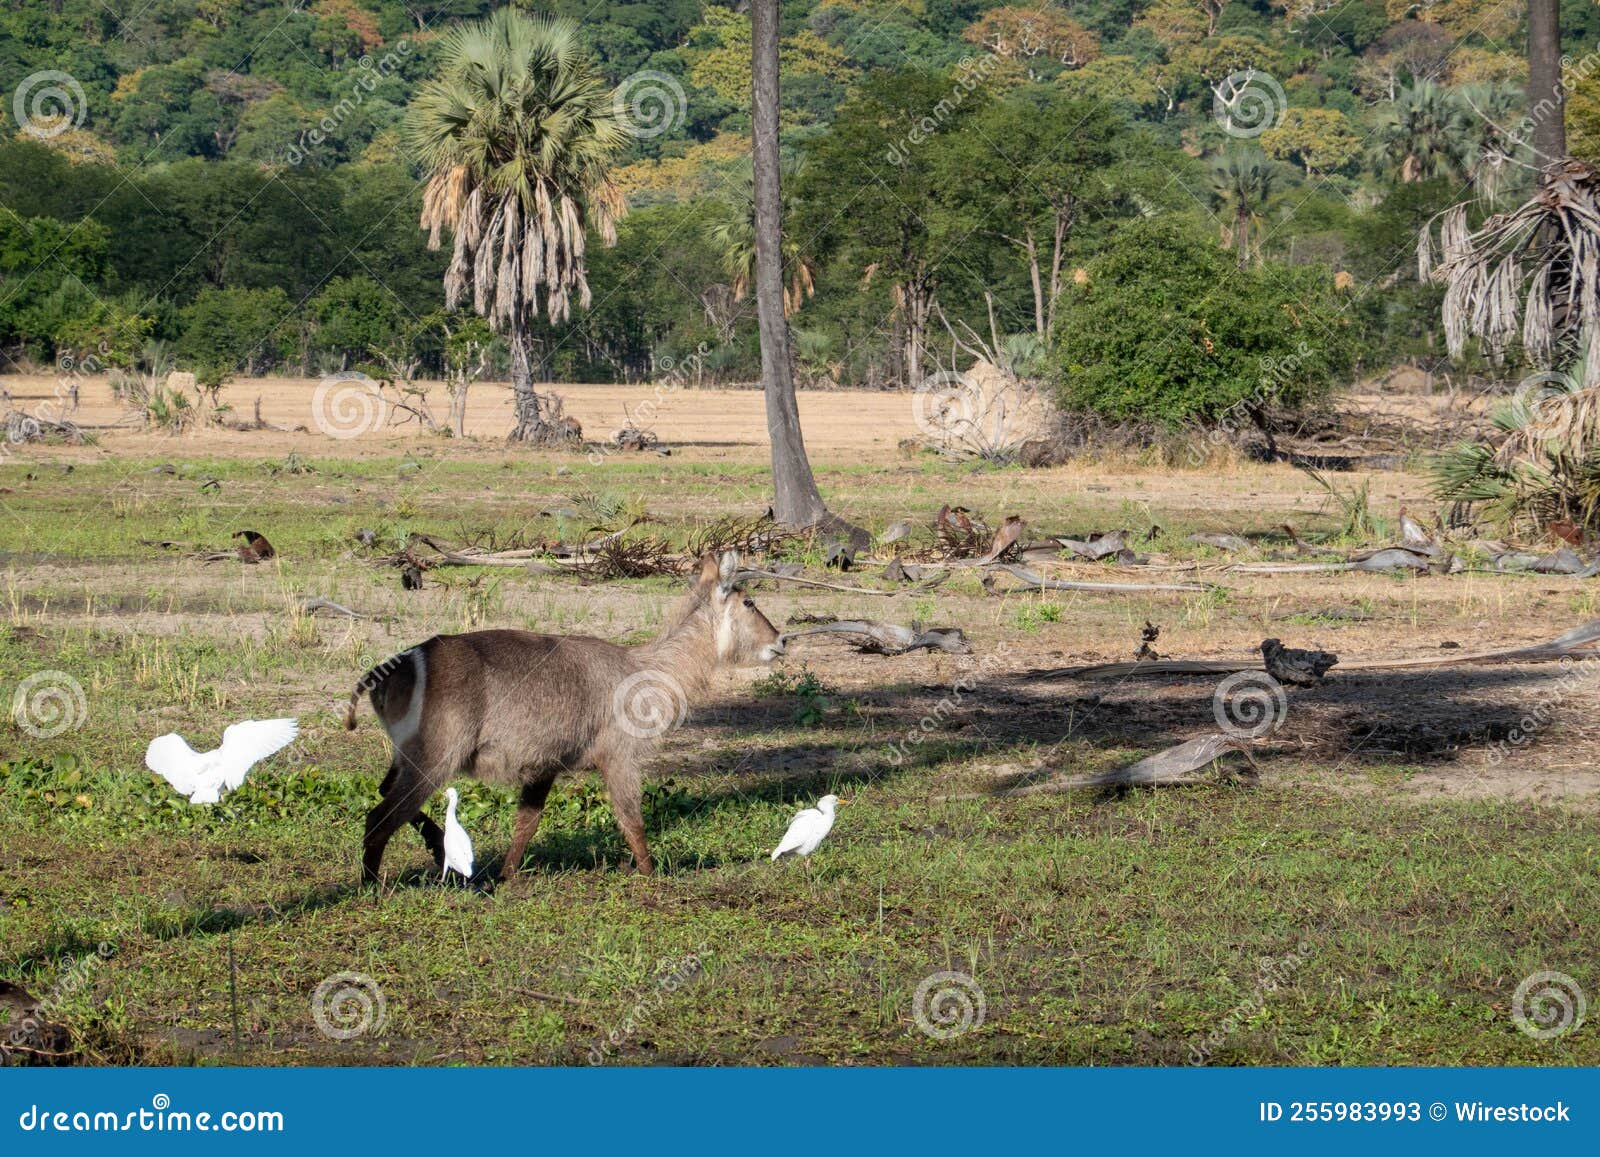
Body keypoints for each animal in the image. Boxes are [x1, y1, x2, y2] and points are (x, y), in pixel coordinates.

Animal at [345, 551, 784, 884]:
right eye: (749, 602)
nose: (782, 640)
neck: (648, 669)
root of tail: (389, 668)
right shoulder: (620, 757)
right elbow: (632, 821)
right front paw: (652, 875)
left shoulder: (545, 766)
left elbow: (526, 824)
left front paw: (505, 876)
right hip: (436, 757)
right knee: (379, 817)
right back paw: (374, 886)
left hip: (407, 756)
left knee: (383, 794)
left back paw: (436, 846)